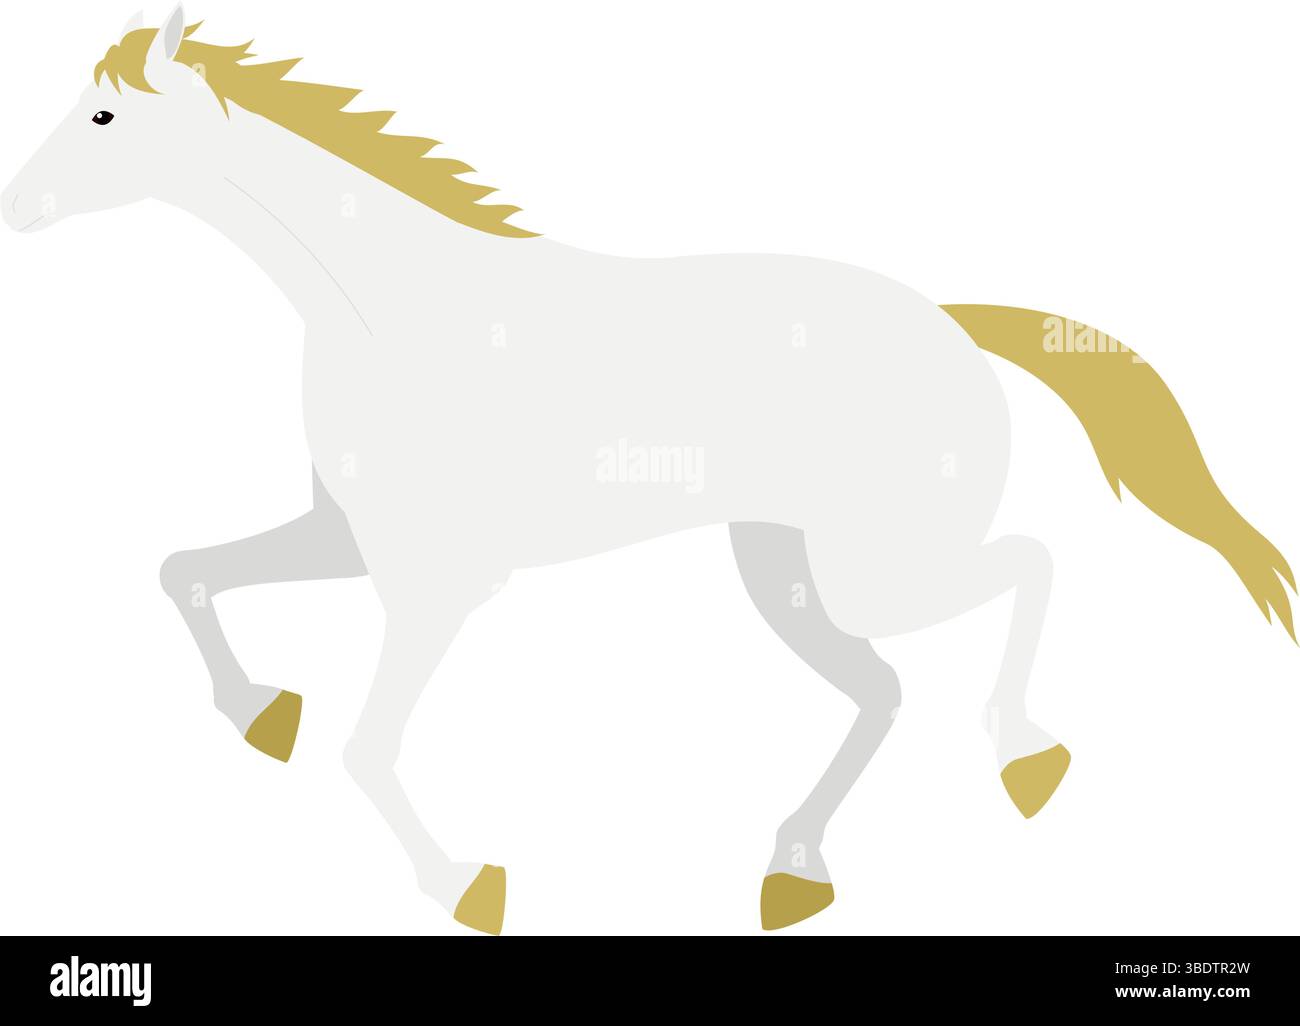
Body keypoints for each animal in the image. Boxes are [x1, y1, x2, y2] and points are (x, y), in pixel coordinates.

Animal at [4, 6, 1292, 934]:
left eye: (105, 115)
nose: (20, 207)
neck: (392, 308)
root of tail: (949, 320)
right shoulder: (356, 545)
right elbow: (184, 570)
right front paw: (261, 714)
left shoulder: (436, 589)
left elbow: (366, 747)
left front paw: (472, 885)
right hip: (782, 573)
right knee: (885, 688)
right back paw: (795, 871)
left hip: (874, 566)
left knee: (1030, 562)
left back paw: (1028, 761)